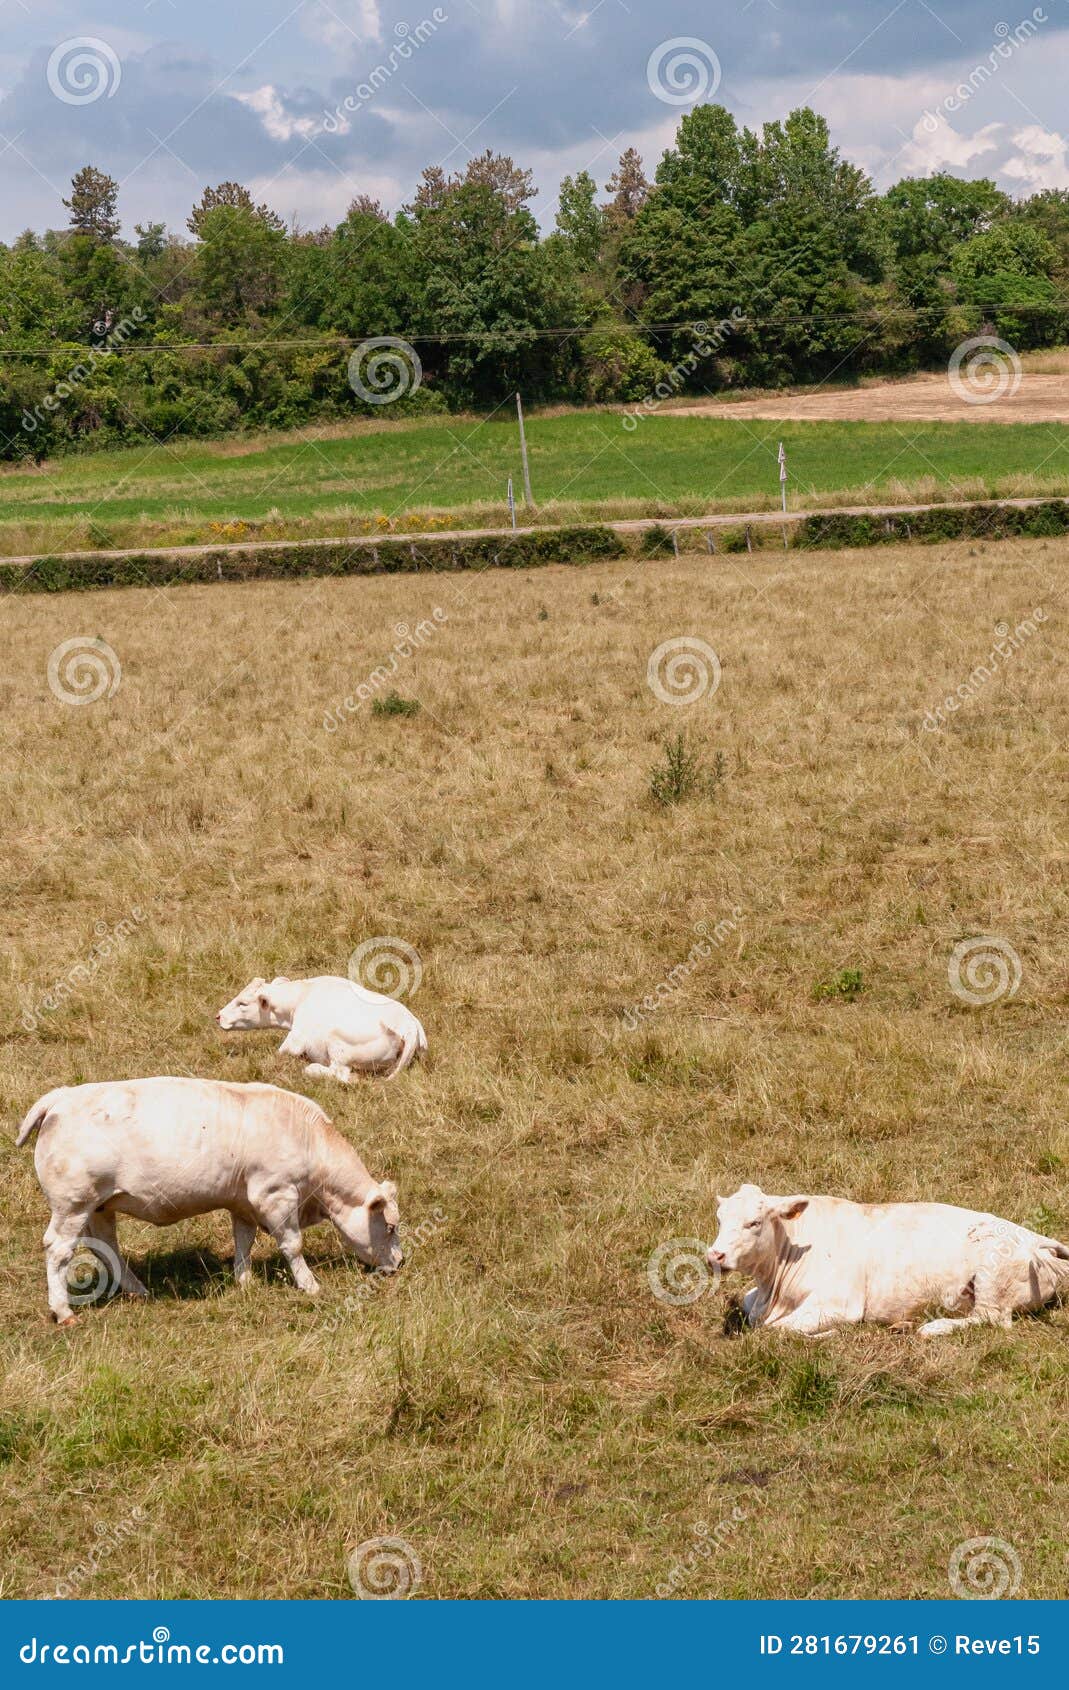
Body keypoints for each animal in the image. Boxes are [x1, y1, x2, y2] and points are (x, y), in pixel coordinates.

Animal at [16, 1076, 403, 1325]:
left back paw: (139, 1290)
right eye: (391, 1226)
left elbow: (243, 1242)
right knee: (58, 1249)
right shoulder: (275, 1194)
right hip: (73, 1204)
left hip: (98, 1206)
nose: (399, 1263)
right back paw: (64, 1312)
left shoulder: (243, 1203)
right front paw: (309, 1285)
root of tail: (62, 1098)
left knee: (106, 1247)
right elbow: (292, 1245)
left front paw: (244, 1282)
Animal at [216, 975, 427, 1083]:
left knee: (340, 1074)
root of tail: (408, 1026)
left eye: (242, 1003)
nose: (218, 1016)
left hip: (338, 1047)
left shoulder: (295, 1040)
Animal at [707, 1183, 1069, 1338]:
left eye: (754, 1223)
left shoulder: (838, 1304)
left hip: (993, 1279)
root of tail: (1036, 1238)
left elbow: (777, 1331)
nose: (714, 1255)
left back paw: (933, 1327)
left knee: (991, 1318)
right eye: (720, 1219)